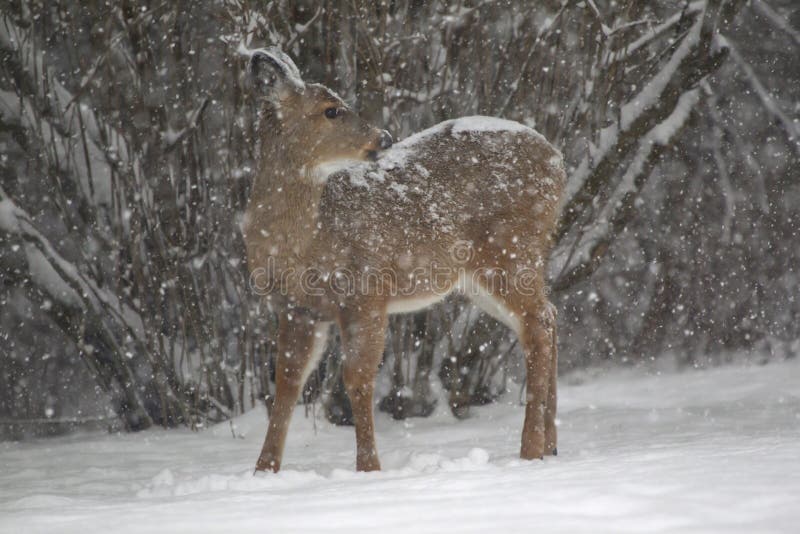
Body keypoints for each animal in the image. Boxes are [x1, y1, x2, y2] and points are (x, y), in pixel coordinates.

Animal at [241, 48, 566, 473]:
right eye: (331, 110)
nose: (384, 137)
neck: (307, 240)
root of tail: (559, 161)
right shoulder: (297, 309)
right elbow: (287, 384)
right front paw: (263, 470)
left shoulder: (366, 290)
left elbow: (356, 379)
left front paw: (368, 467)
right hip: (482, 275)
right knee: (547, 317)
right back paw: (551, 446)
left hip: (510, 250)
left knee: (538, 324)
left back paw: (530, 449)